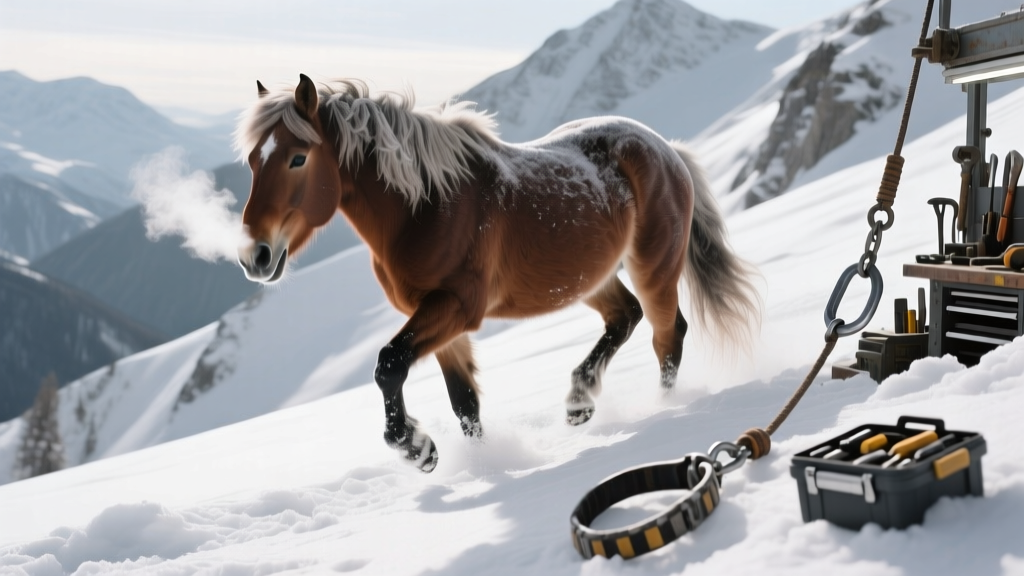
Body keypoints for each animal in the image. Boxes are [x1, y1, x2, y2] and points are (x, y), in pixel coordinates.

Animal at [235, 74, 760, 472]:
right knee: (625, 316)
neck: (426, 207)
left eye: (298, 158)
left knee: (667, 336)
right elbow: (464, 402)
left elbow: (389, 364)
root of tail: (668, 150)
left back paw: (661, 408)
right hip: (588, 278)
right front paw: (486, 464)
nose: (254, 256)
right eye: (253, 161)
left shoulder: (455, 308)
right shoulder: (438, 321)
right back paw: (579, 400)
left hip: (653, 268)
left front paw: (415, 447)